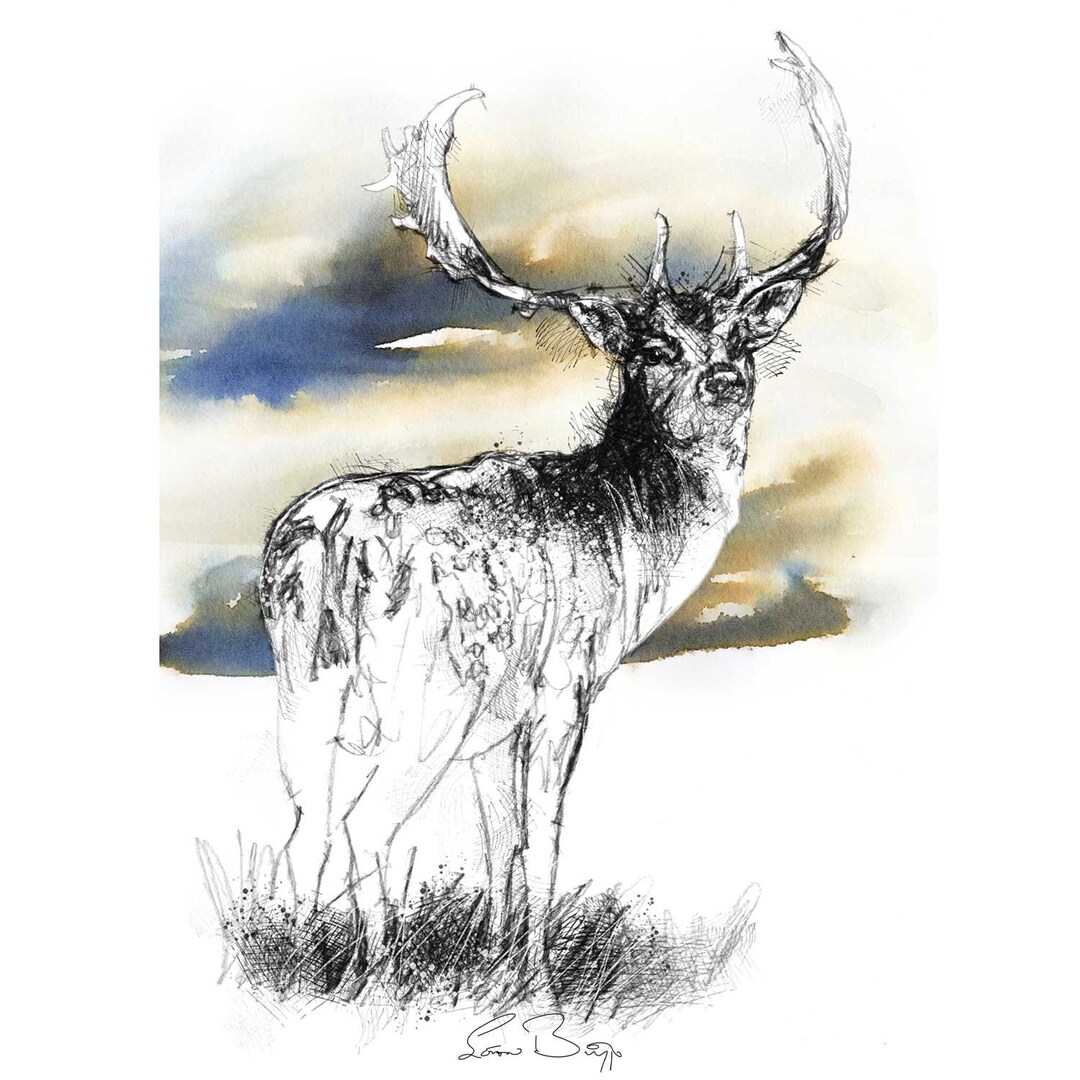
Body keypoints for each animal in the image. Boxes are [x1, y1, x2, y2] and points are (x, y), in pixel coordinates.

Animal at [259, 32, 849, 1002]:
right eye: (657, 347)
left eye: (740, 339)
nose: (727, 381)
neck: (631, 543)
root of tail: (330, 544)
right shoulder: (564, 685)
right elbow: (543, 840)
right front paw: (534, 981)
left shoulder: (493, 731)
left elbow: (498, 843)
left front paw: (496, 965)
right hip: (428, 695)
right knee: (365, 824)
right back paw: (377, 977)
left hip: (303, 692)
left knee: (305, 826)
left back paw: (317, 970)